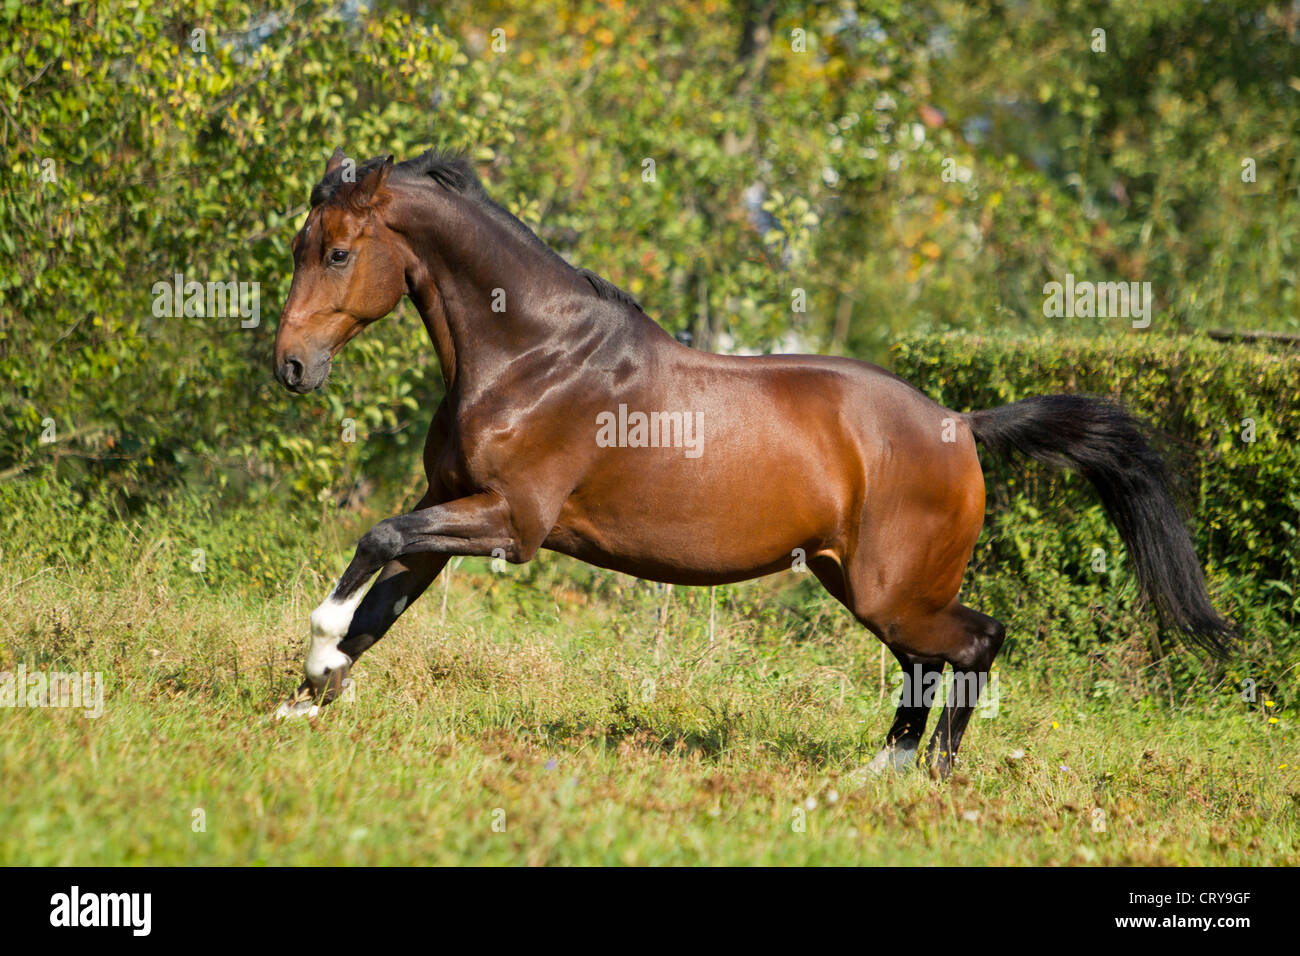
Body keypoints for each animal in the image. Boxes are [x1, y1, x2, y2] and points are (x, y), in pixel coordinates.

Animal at [271, 147, 1234, 776]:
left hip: (895, 589)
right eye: (298, 247)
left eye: (340, 252)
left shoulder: (511, 524)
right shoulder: (452, 506)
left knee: (977, 643)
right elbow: (383, 596)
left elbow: (376, 540)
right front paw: (307, 697)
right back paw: (877, 775)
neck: (533, 355)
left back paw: (931, 776)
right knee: (928, 661)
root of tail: (961, 422)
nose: (291, 368)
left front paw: (314, 662)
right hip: (863, 585)